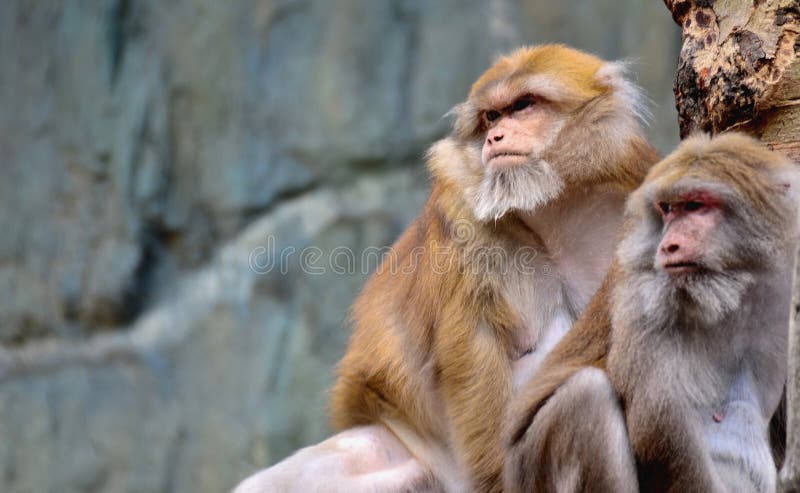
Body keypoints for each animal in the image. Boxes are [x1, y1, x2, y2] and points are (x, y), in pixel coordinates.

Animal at [233, 44, 658, 493]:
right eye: (491, 116)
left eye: (523, 105)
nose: (494, 137)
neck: (550, 207)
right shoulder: (464, 215)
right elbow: (471, 339)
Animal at [503, 132, 800, 493]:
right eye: (668, 209)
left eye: (695, 206)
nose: (668, 245)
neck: (735, 288)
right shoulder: (643, 293)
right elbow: (659, 421)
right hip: (531, 470)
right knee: (588, 397)